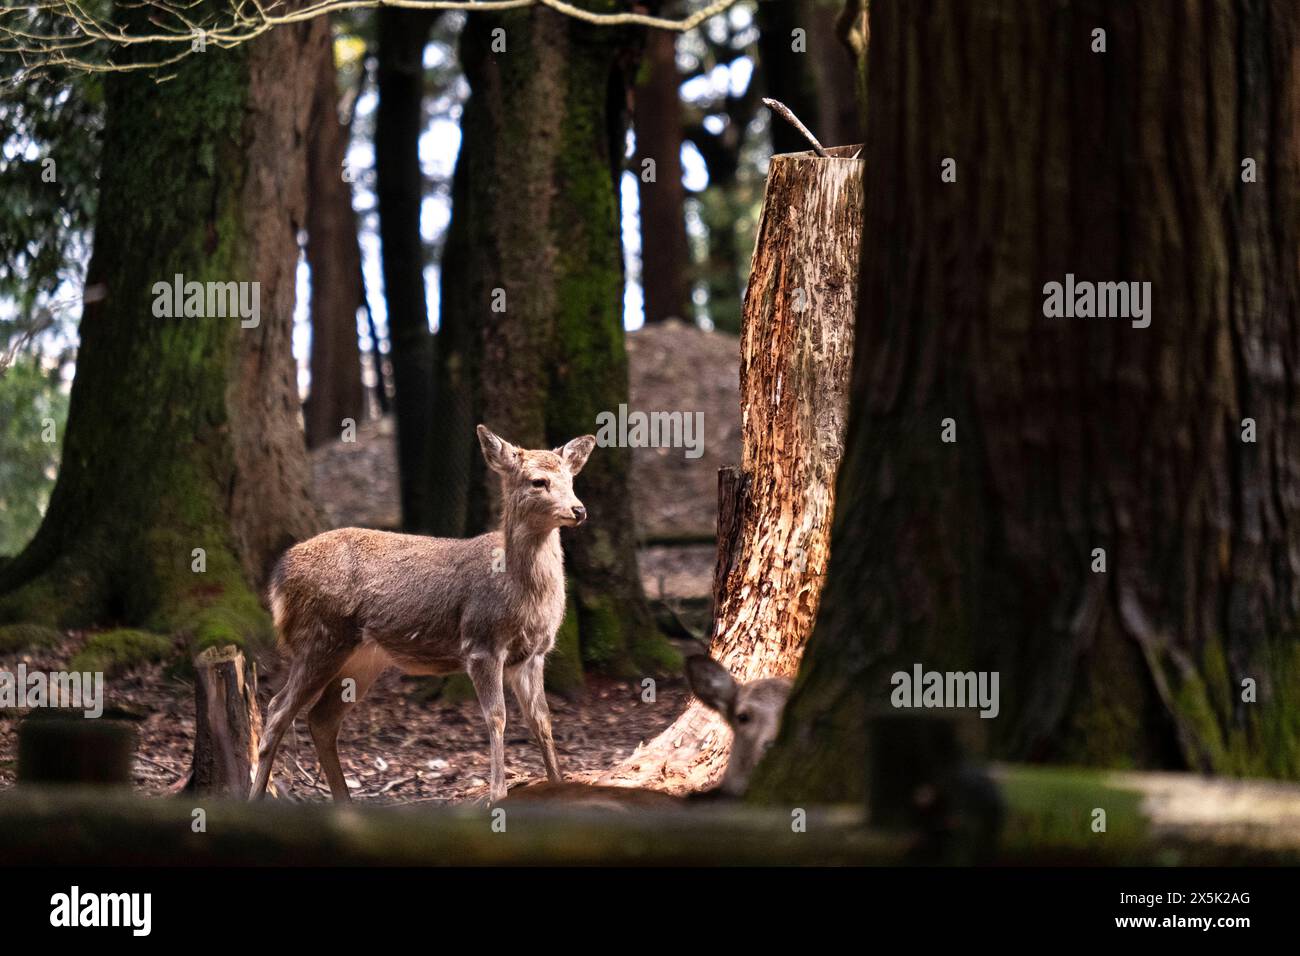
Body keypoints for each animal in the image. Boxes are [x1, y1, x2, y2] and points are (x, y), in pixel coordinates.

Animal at [249, 424, 595, 804]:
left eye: (571, 478)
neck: (523, 593)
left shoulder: (533, 654)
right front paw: (497, 794)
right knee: (277, 708)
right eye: (538, 481)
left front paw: (560, 786)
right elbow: (497, 717)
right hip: (320, 636)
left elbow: (542, 721)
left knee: (321, 719)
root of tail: (278, 578)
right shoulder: (481, 643)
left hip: (362, 658)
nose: (578, 509)